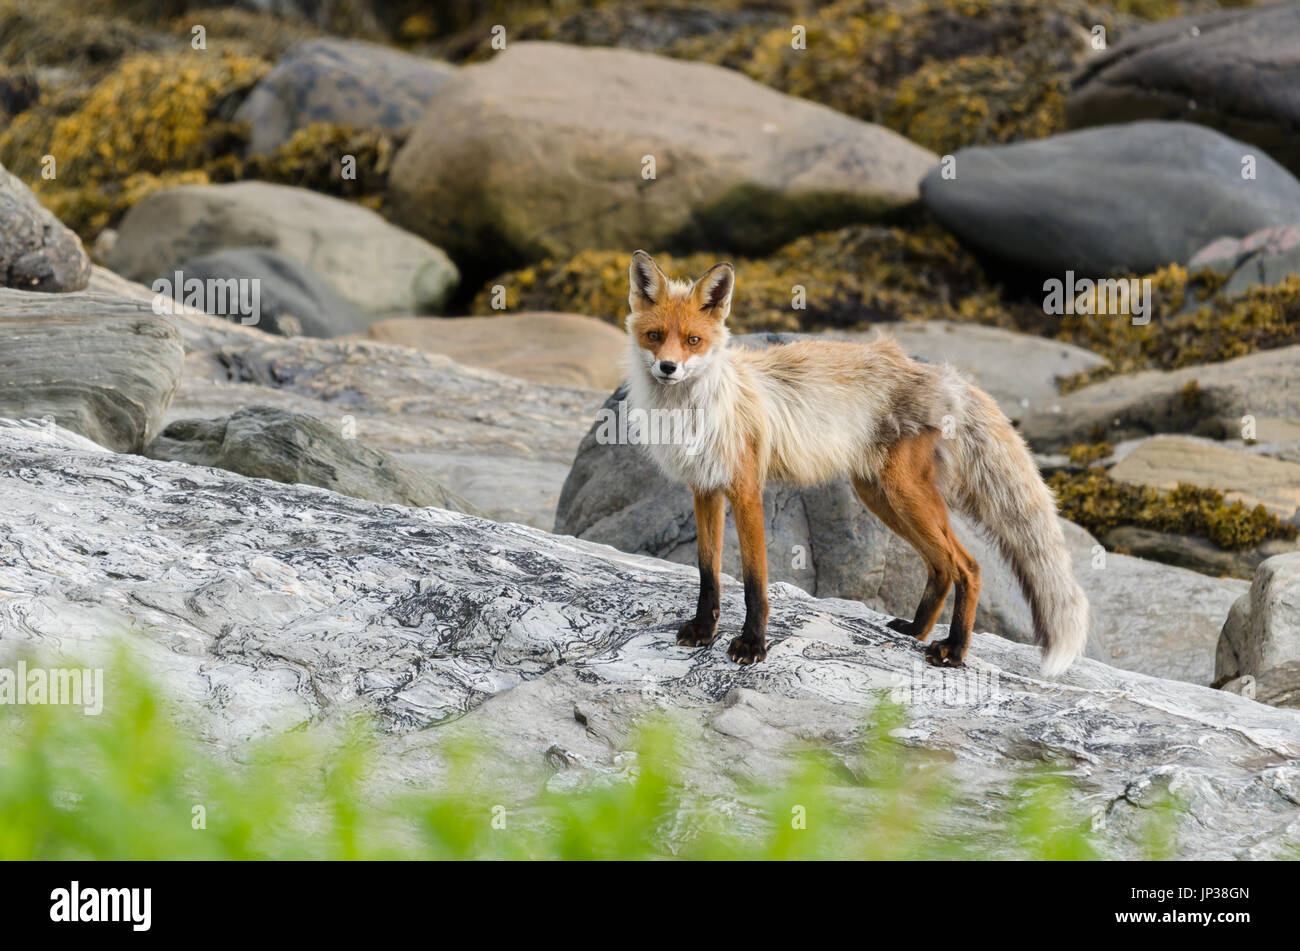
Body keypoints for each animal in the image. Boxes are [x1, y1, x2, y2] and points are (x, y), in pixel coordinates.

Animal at [622, 250, 1089, 676]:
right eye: (655, 335)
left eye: (692, 341)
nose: (668, 367)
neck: (693, 414)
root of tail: (940, 376)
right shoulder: (704, 489)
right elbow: (708, 572)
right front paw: (704, 630)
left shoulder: (746, 490)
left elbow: (755, 582)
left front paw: (753, 644)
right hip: (879, 497)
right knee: (941, 566)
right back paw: (916, 631)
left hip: (904, 494)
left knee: (968, 567)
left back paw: (954, 650)